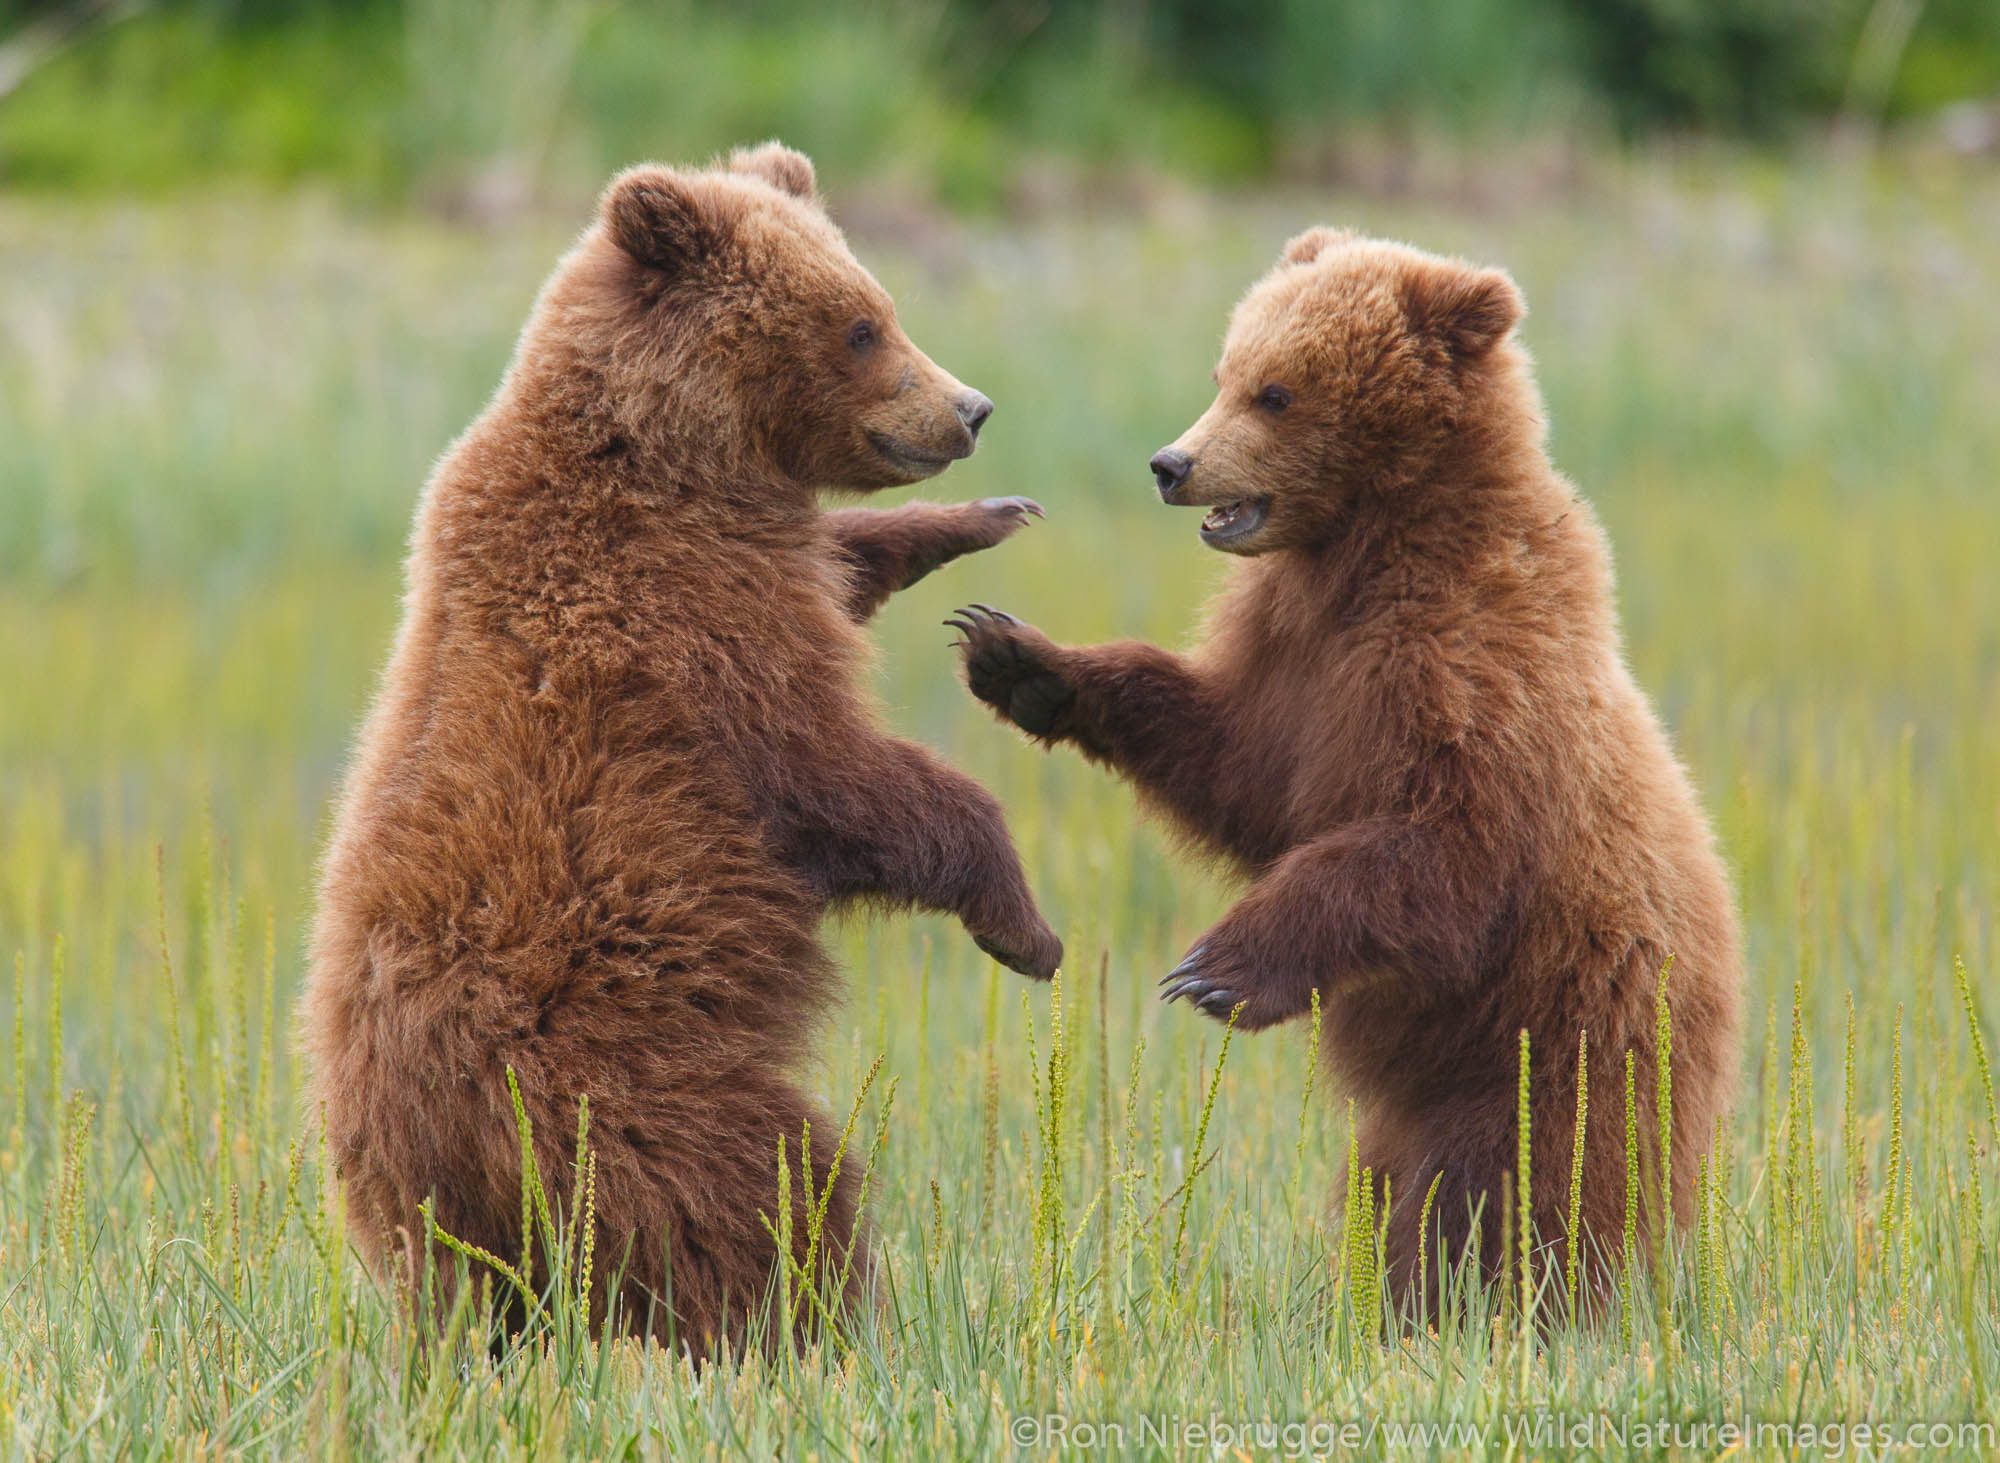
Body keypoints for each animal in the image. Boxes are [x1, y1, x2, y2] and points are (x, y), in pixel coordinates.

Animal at [301, 142, 1063, 1361]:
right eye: (861, 325)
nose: (970, 409)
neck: (672, 458)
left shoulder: (755, 557)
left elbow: (844, 560)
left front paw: (982, 518)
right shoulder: (686, 624)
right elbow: (841, 777)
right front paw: (1027, 930)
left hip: (465, 1212)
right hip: (621, 1086)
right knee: (764, 1193)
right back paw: (829, 1327)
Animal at [949, 227, 1741, 1316]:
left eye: (1275, 391)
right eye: (1223, 371)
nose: (1169, 462)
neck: (1365, 551)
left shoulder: (1466, 673)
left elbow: (1436, 846)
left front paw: (1213, 970)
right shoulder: (1299, 664)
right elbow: (1236, 768)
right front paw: (1018, 658)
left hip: (1560, 1039)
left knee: (1516, 1187)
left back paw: (1483, 1300)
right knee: (1388, 1184)